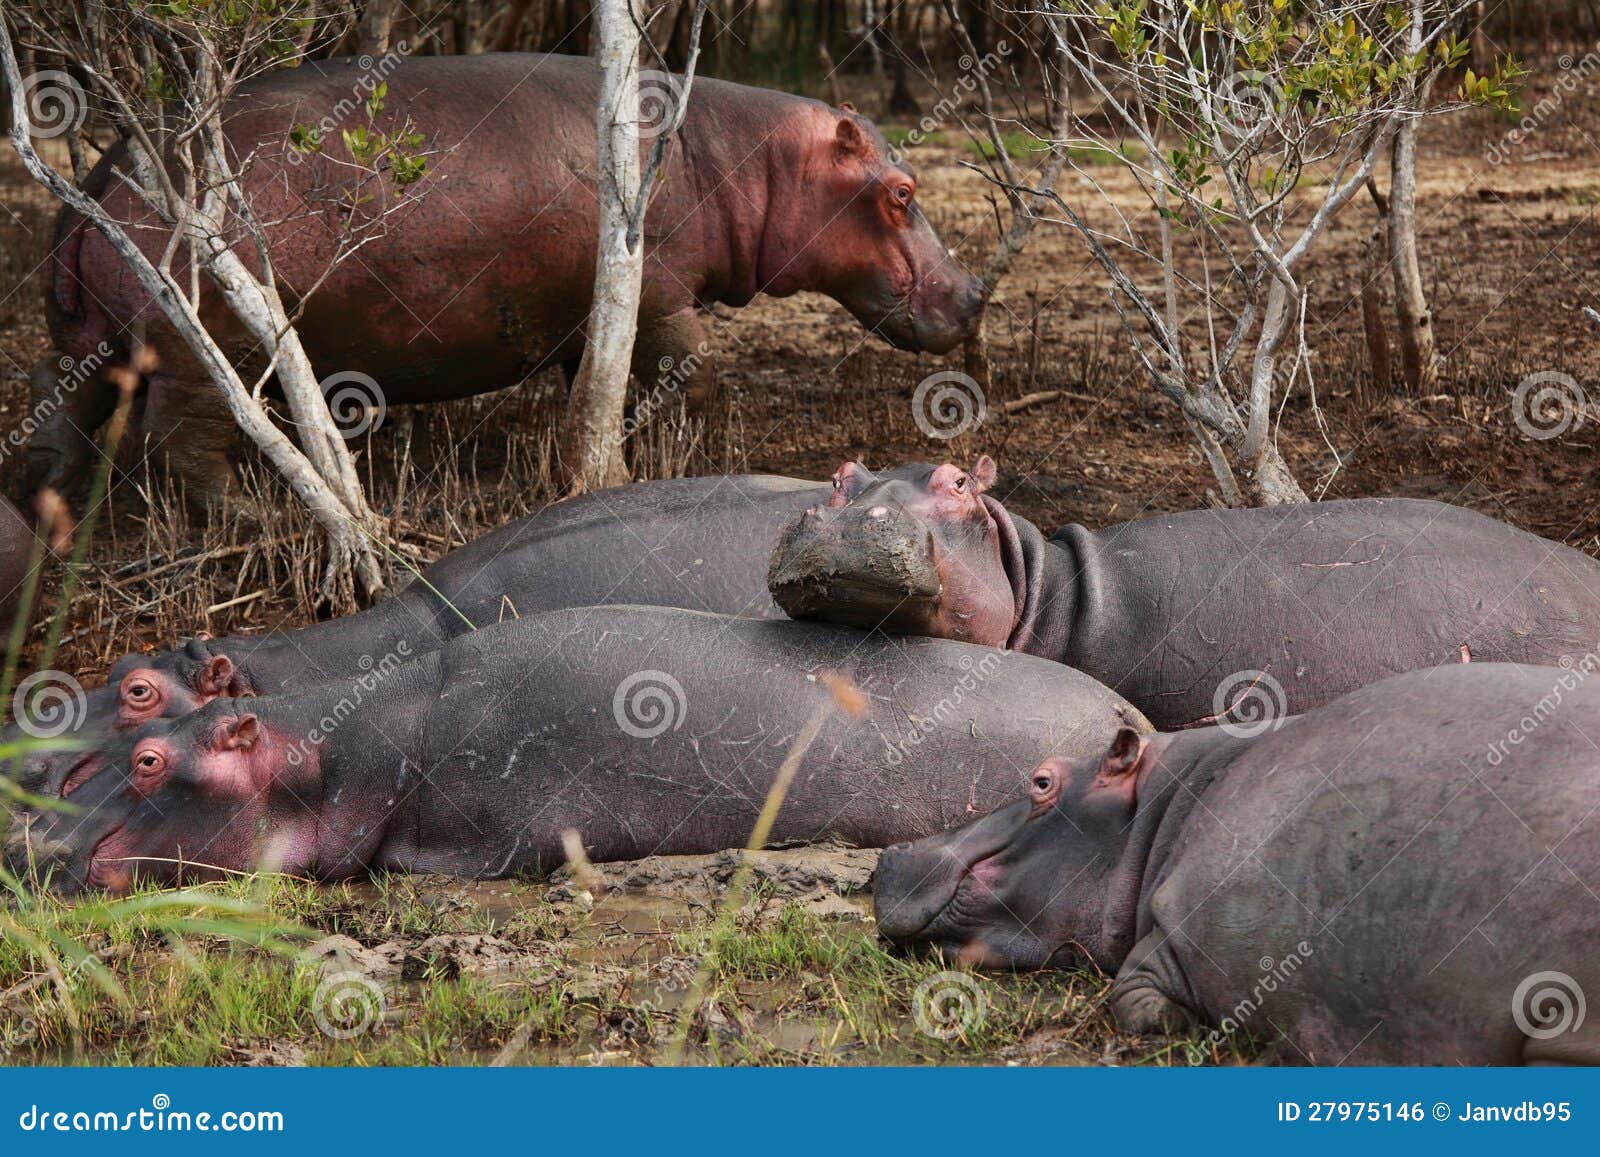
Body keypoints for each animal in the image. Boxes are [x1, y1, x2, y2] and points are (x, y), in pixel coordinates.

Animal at [29, 52, 983, 497]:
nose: (974, 296)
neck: (749, 159)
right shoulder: (657, 298)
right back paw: (249, 517)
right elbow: (688, 369)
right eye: (902, 192)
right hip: (202, 347)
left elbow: (595, 387)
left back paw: (53, 500)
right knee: (184, 442)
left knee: (66, 407)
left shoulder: (586, 319)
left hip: (87, 341)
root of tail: (101, 178)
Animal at [874, 662, 1600, 1065]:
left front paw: (1178, 1022)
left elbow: (1132, 990)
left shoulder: (1182, 925)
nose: (892, 851)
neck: (1169, 804)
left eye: (1042, 780)